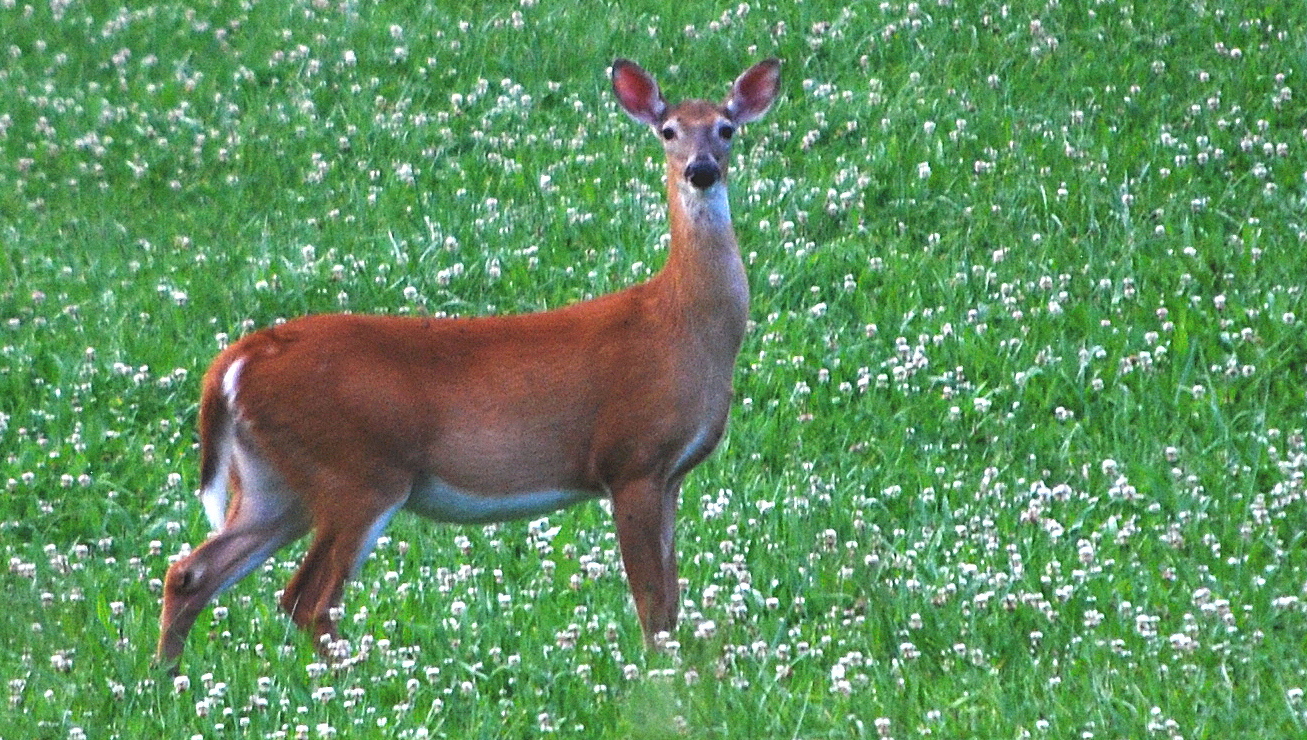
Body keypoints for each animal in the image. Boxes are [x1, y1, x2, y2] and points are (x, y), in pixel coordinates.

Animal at [157, 58, 780, 666]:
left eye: (726, 129)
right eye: (668, 130)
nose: (701, 170)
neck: (679, 324)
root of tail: (237, 360)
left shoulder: (671, 475)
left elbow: (670, 596)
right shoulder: (631, 459)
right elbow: (652, 601)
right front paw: (661, 675)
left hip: (275, 482)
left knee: (190, 572)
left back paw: (166, 676)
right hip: (357, 470)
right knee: (306, 599)